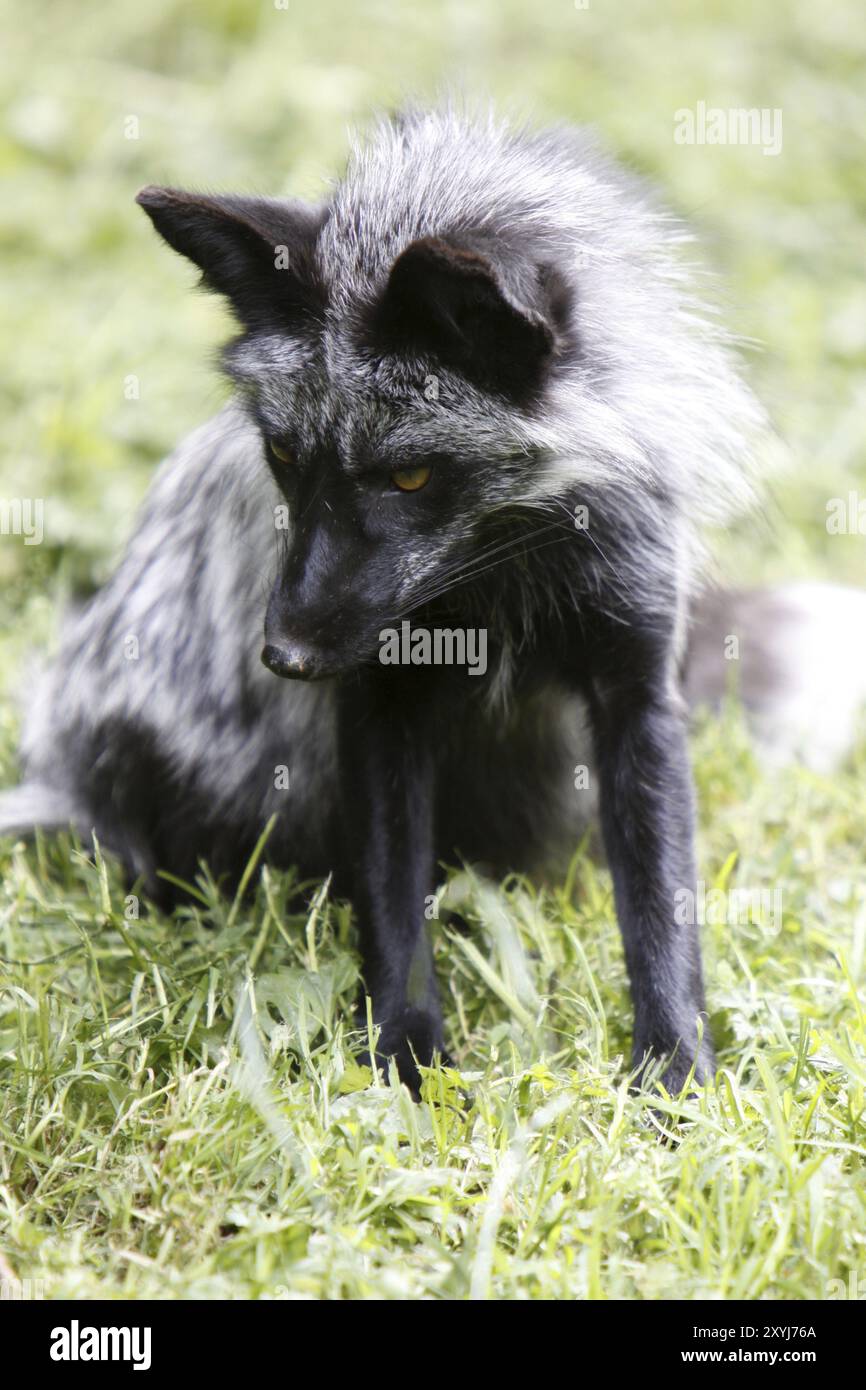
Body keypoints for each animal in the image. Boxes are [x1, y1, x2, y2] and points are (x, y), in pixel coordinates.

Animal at [2, 106, 865, 1095]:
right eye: (285, 455)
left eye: (409, 475)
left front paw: (675, 1078)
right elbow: (392, 904)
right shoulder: (382, 706)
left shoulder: (638, 690)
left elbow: (661, 909)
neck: (504, 574)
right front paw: (408, 1068)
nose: (284, 657)